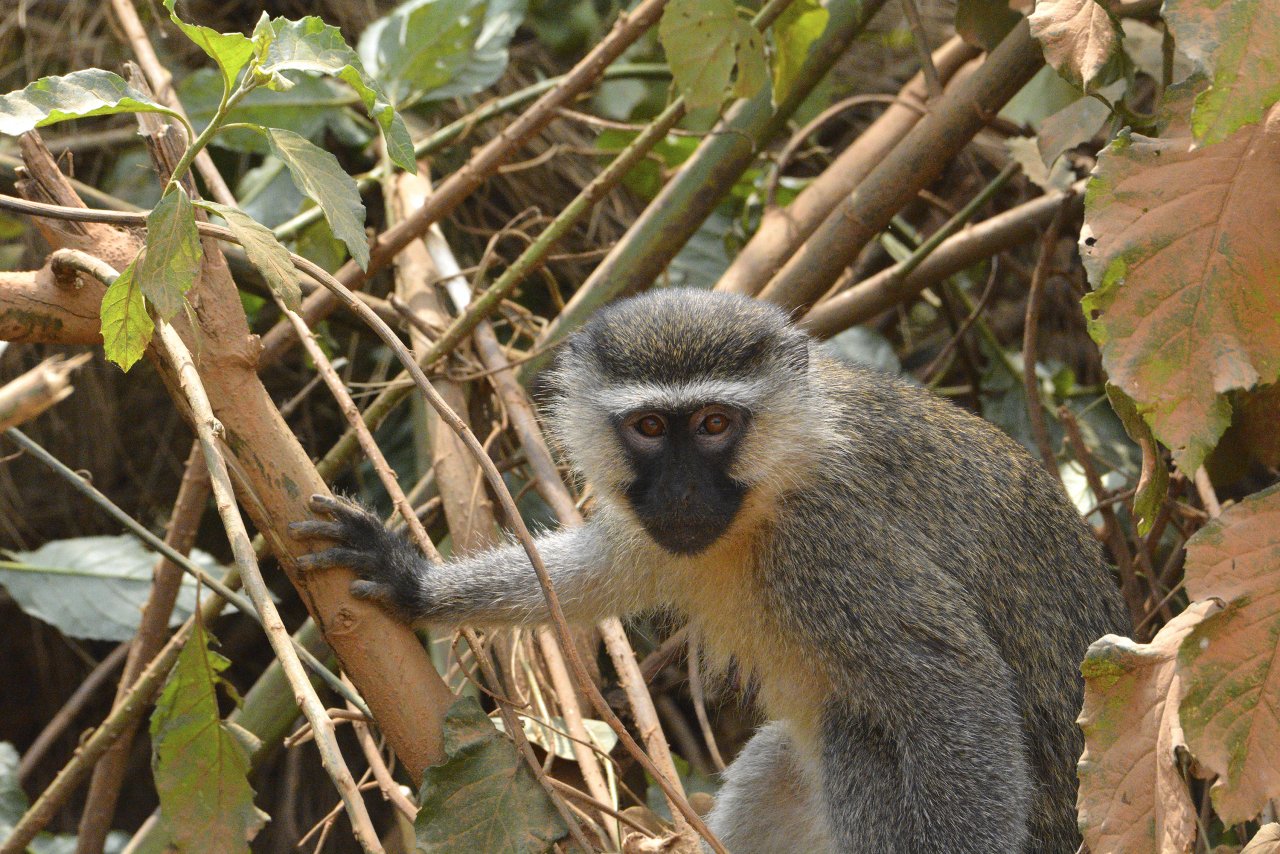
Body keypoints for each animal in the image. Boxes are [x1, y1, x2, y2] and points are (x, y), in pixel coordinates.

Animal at [291, 288, 1131, 853]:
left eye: (715, 423)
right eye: (649, 427)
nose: (684, 492)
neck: (774, 480)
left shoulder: (832, 544)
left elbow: (954, 688)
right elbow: (601, 568)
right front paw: (410, 580)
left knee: (860, 729)